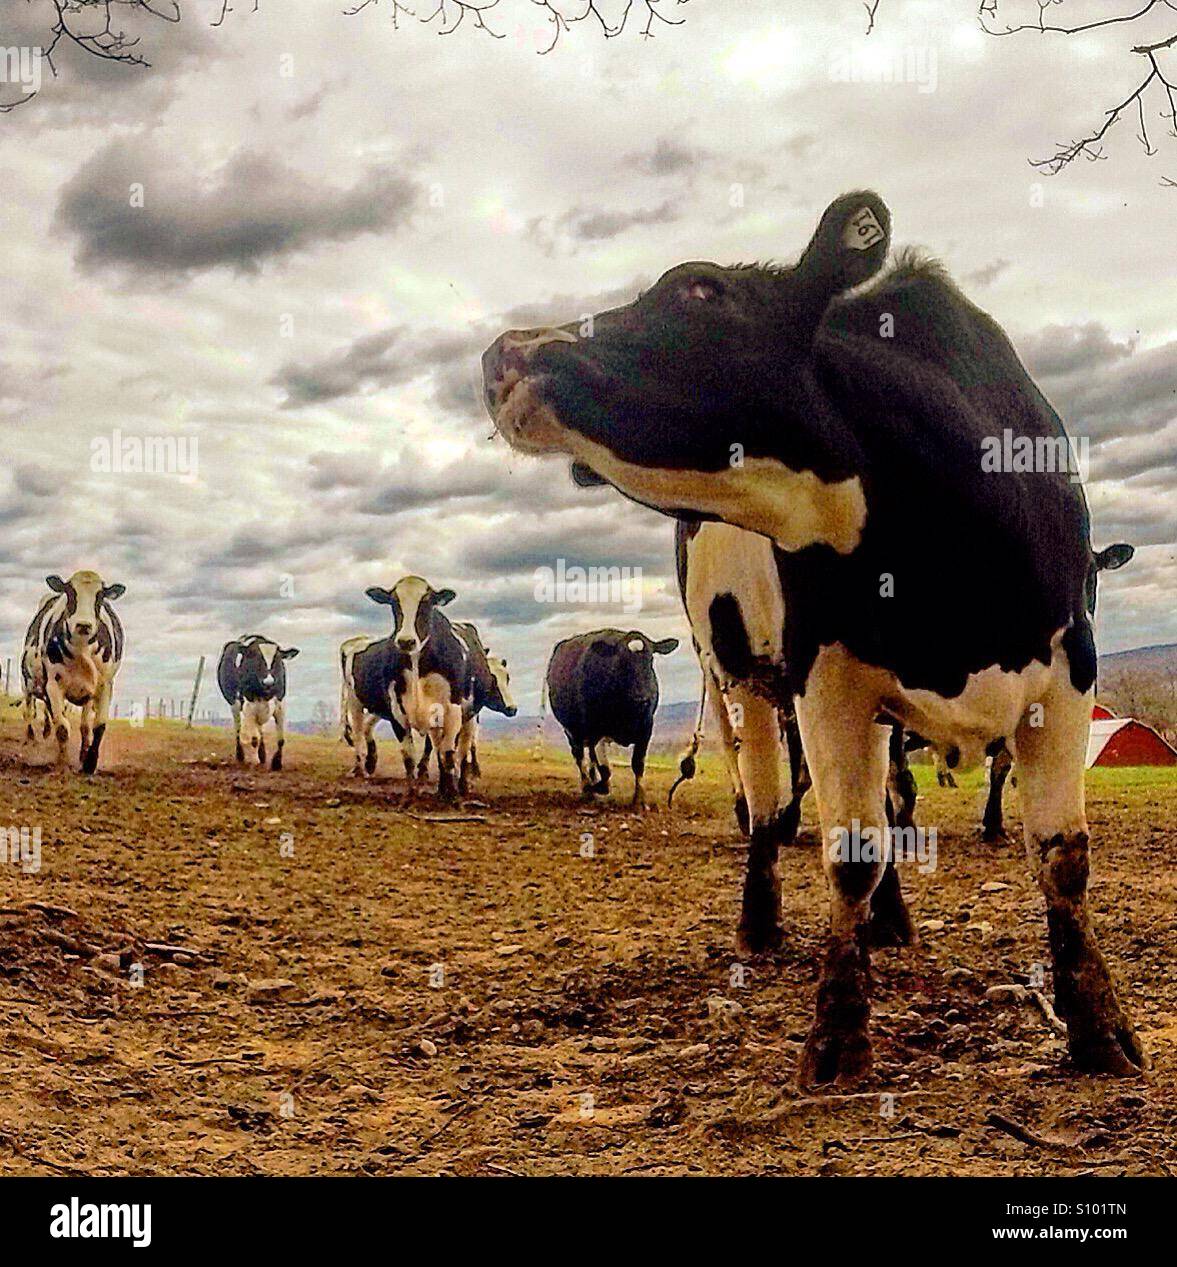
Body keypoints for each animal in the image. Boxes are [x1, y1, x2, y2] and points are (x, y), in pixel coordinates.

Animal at [21, 570, 125, 773]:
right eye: (70, 592)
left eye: (100, 595)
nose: (83, 625)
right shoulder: (52, 686)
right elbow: (62, 727)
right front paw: (62, 761)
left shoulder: (104, 685)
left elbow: (98, 725)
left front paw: (89, 763)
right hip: (28, 686)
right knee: (31, 712)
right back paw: (33, 737)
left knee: (84, 725)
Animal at [216, 635, 299, 769]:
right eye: (256, 658)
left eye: (277, 659)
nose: (269, 682)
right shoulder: (248, 706)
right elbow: (254, 738)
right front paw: (255, 761)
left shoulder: (280, 703)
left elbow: (281, 739)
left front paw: (277, 763)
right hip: (234, 704)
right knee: (238, 730)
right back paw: (241, 755)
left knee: (259, 730)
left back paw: (262, 755)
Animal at [343, 576, 471, 801]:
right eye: (394, 602)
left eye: (427, 601)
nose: (406, 641)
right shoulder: (397, 711)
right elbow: (408, 755)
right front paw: (410, 795)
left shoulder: (452, 710)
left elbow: (446, 752)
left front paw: (452, 795)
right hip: (354, 700)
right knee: (358, 732)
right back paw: (361, 768)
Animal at [544, 629, 678, 809]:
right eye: (622, 662)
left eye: (650, 660)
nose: (643, 697)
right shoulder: (596, 730)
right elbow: (604, 768)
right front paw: (598, 787)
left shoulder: (646, 728)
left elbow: (638, 764)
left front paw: (639, 800)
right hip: (572, 731)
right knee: (580, 758)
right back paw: (587, 789)